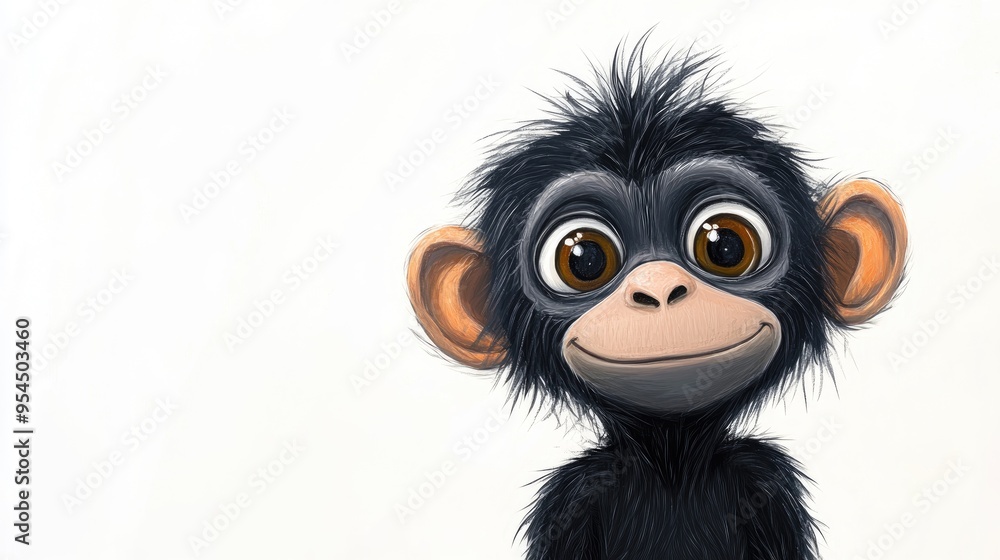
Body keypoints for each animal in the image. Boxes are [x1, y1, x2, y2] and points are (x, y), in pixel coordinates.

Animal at [405, 44, 906, 559]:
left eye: (726, 244)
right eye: (583, 257)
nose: (660, 289)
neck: (672, 462)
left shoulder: (766, 485)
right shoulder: (573, 498)